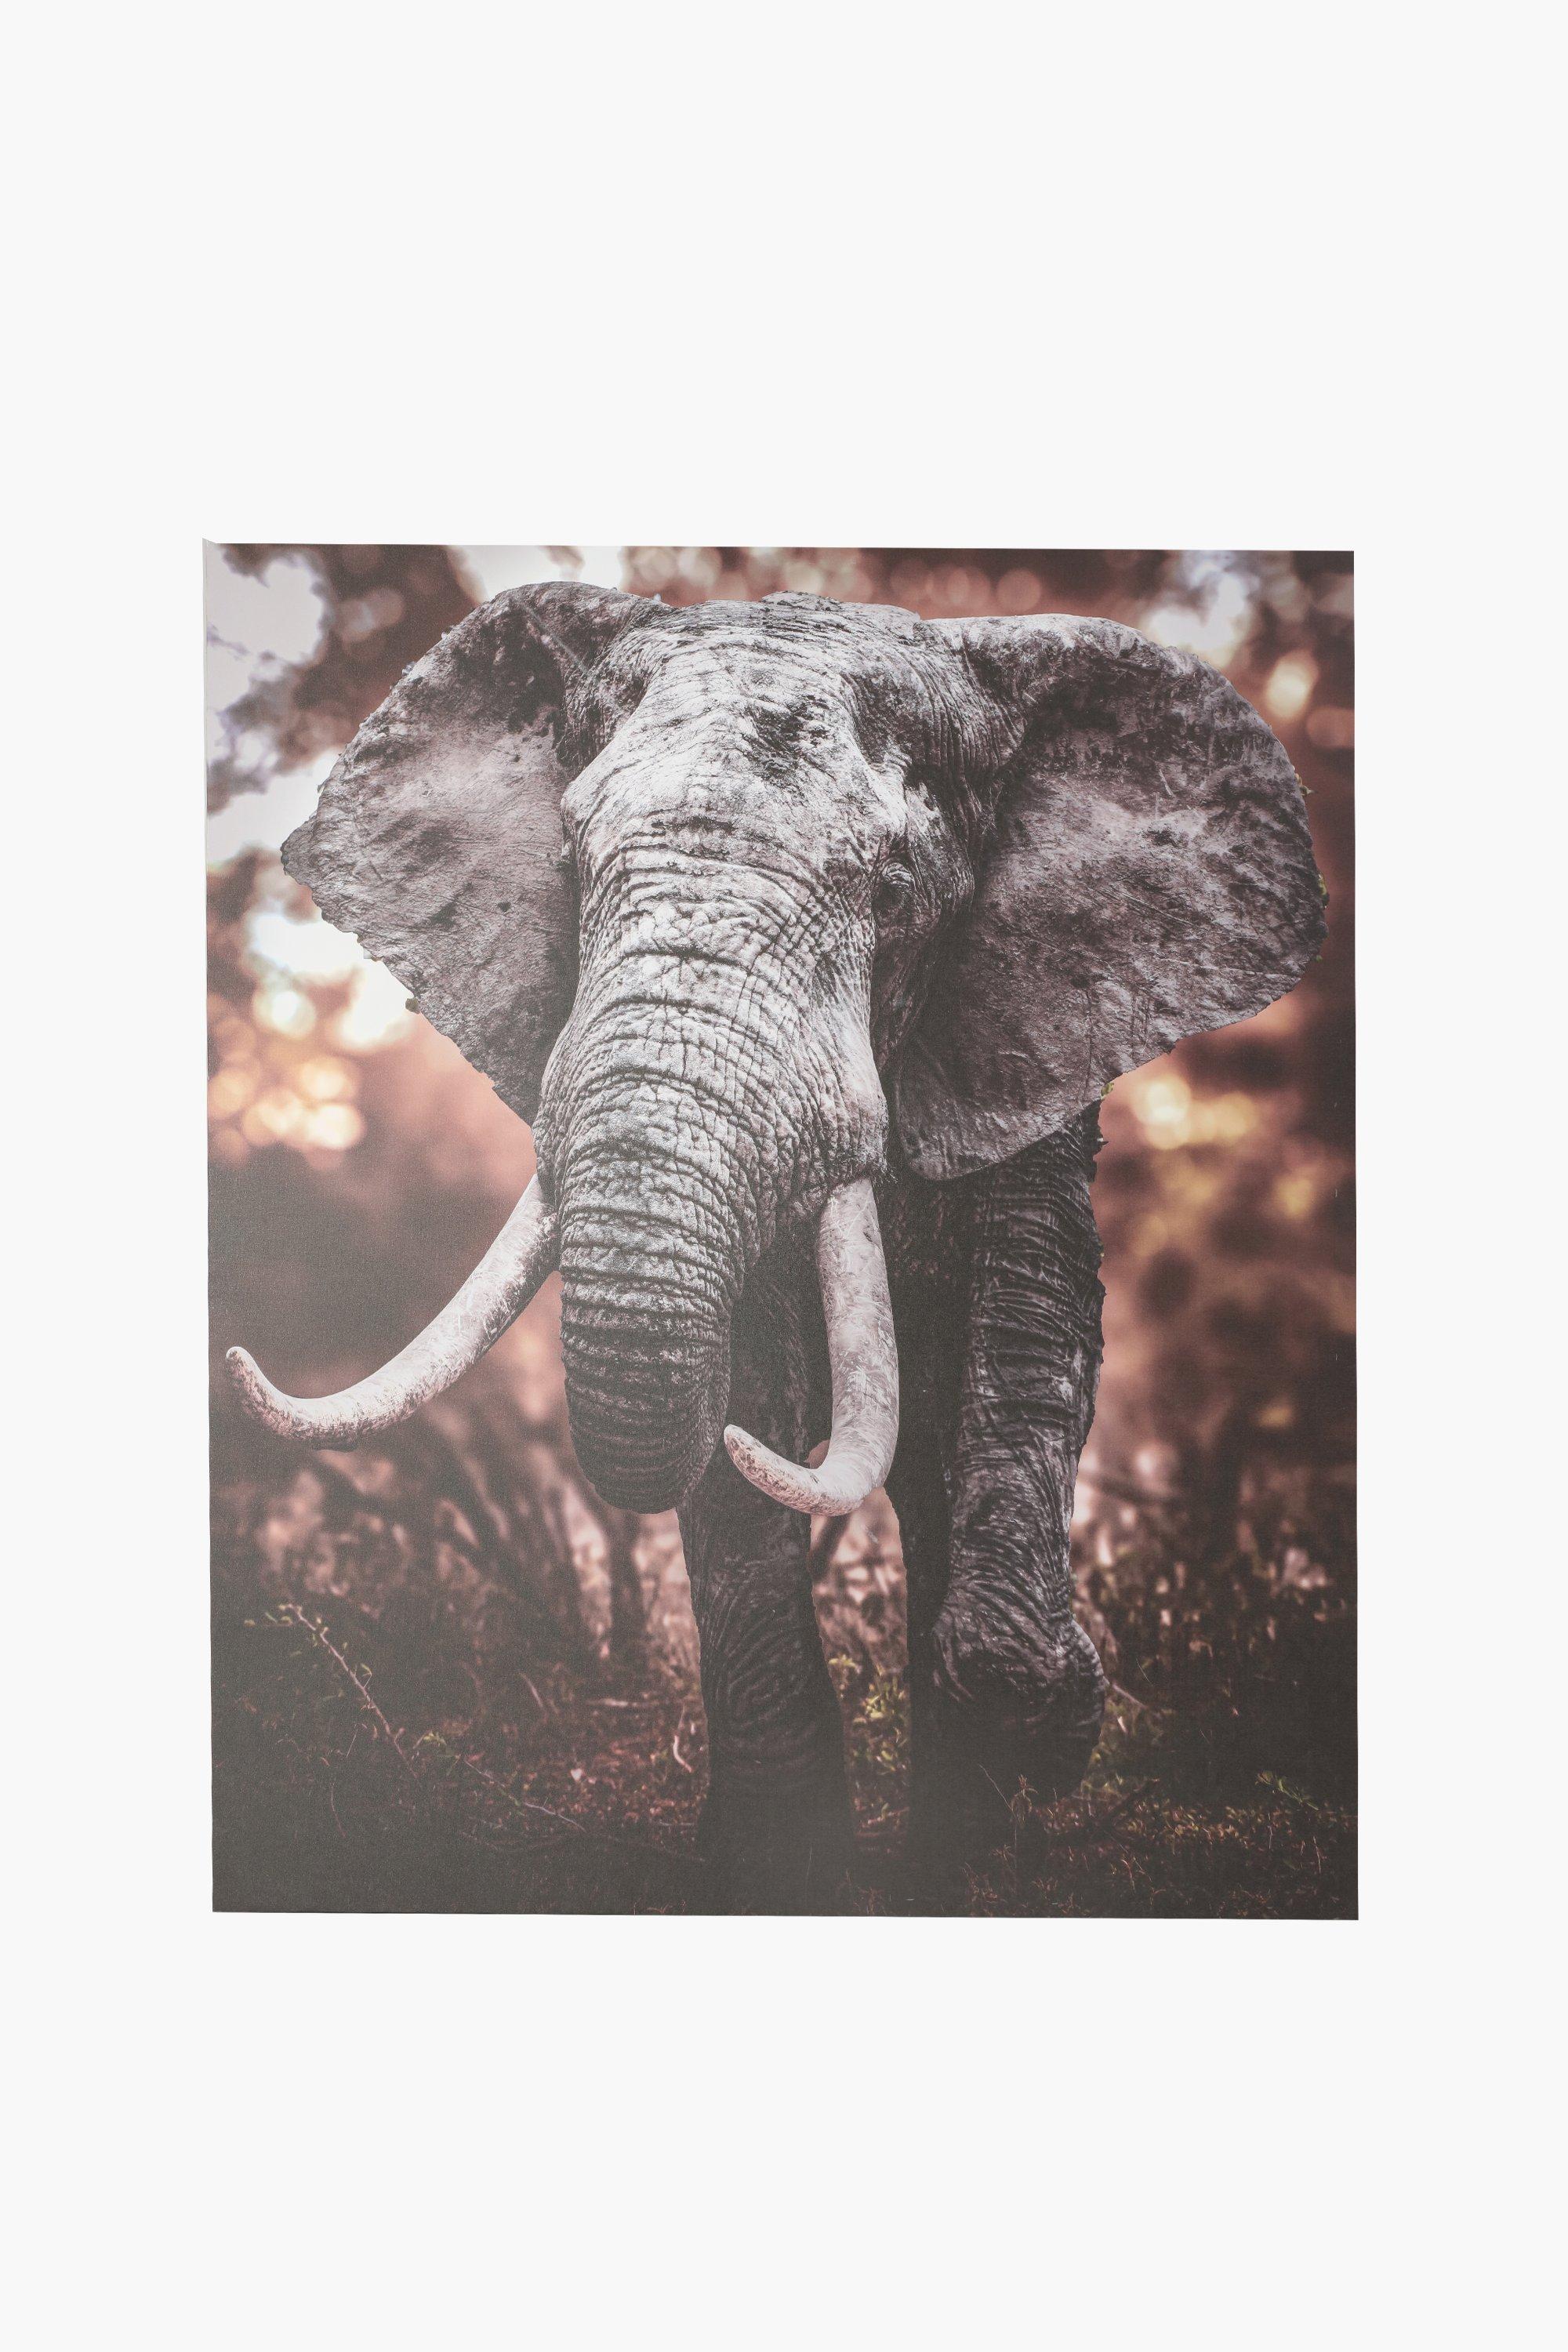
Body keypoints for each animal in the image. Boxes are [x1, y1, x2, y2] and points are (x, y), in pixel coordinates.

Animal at [227, 582, 1325, 1906]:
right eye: (569, 865)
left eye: (896, 892)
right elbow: (736, 1401)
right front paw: (780, 1869)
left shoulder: (1029, 1039)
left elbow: (1026, 1348)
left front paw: (1049, 1728)